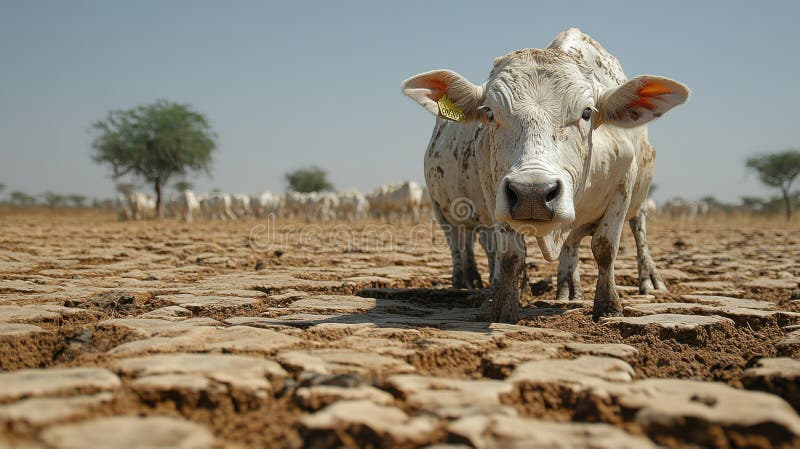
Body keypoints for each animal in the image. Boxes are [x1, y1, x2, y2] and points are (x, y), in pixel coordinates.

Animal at [402, 28, 689, 322]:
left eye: (587, 113)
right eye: (489, 112)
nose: (532, 194)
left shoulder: (623, 184)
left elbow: (605, 247)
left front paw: (608, 307)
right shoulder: (493, 191)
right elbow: (510, 254)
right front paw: (503, 308)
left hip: (639, 200)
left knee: (636, 230)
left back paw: (645, 280)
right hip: (443, 211)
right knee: (462, 242)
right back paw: (471, 281)